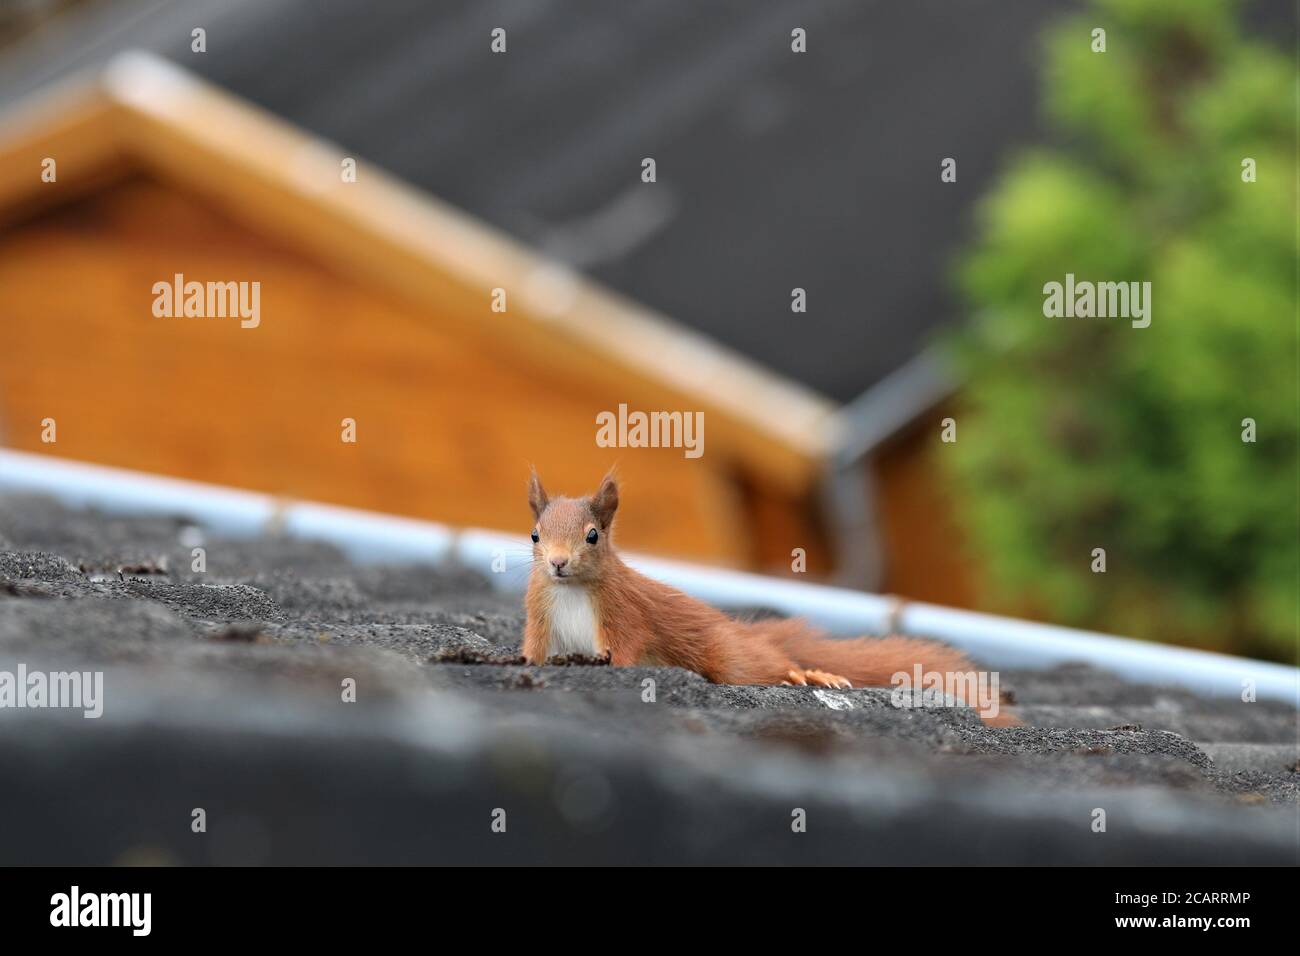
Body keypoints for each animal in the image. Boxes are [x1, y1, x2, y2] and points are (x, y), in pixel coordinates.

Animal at [523, 470, 1009, 720]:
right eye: (534, 535)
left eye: (592, 536)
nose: (557, 563)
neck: (570, 591)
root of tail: (747, 634)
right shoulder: (540, 619)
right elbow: (534, 651)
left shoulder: (624, 617)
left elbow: (625, 651)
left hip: (728, 656)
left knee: (770, 663)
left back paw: (810, 674)